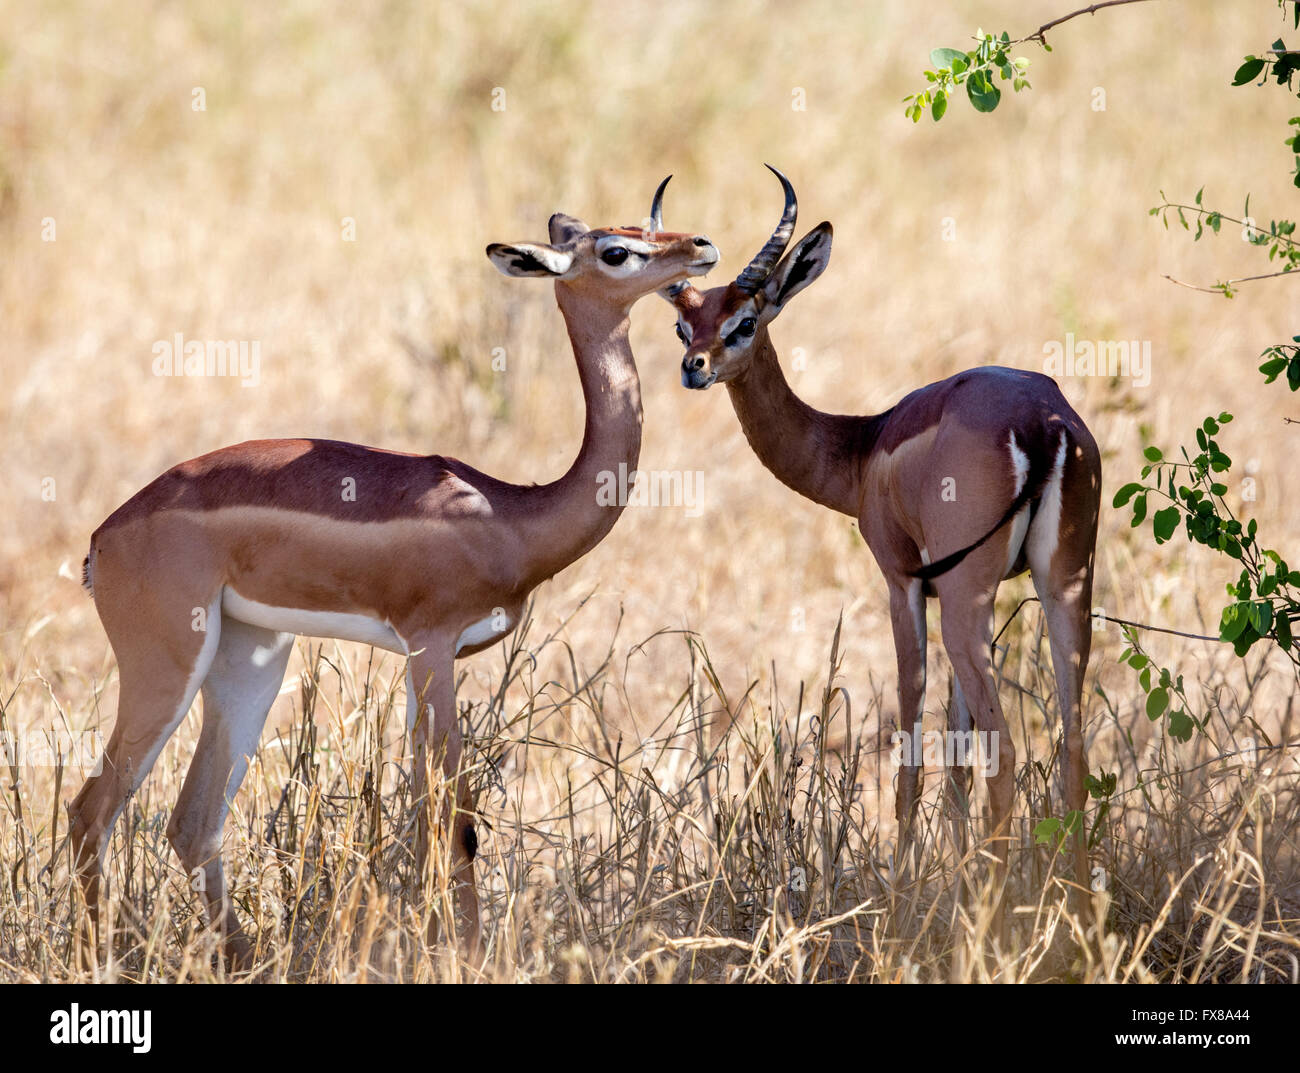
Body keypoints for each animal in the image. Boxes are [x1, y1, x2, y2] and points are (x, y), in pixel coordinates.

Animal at [69, 181, 718, 967]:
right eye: (616, 251)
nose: (702, 248)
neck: (510, 513)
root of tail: (105, 537)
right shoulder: (431, 645)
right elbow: (456, 816)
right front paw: (469, 955)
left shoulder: (424, 661)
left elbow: (422, 810)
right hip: (166, 665)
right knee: (91, 809)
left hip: (250, 658)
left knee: (193, 823)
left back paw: (247, 957)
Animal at [665, 167, 1101, 931]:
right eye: (685, 323)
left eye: (745, 321)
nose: (694, 367)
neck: (862, 447)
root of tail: (1044, 424)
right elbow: (954, 762)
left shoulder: (904, 584)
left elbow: (912, 761)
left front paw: (904, 912)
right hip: (1064, 586)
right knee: (1071, 747)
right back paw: (1075, 916)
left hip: (966, 601)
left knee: (1008, 753)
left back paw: (1003, 924)